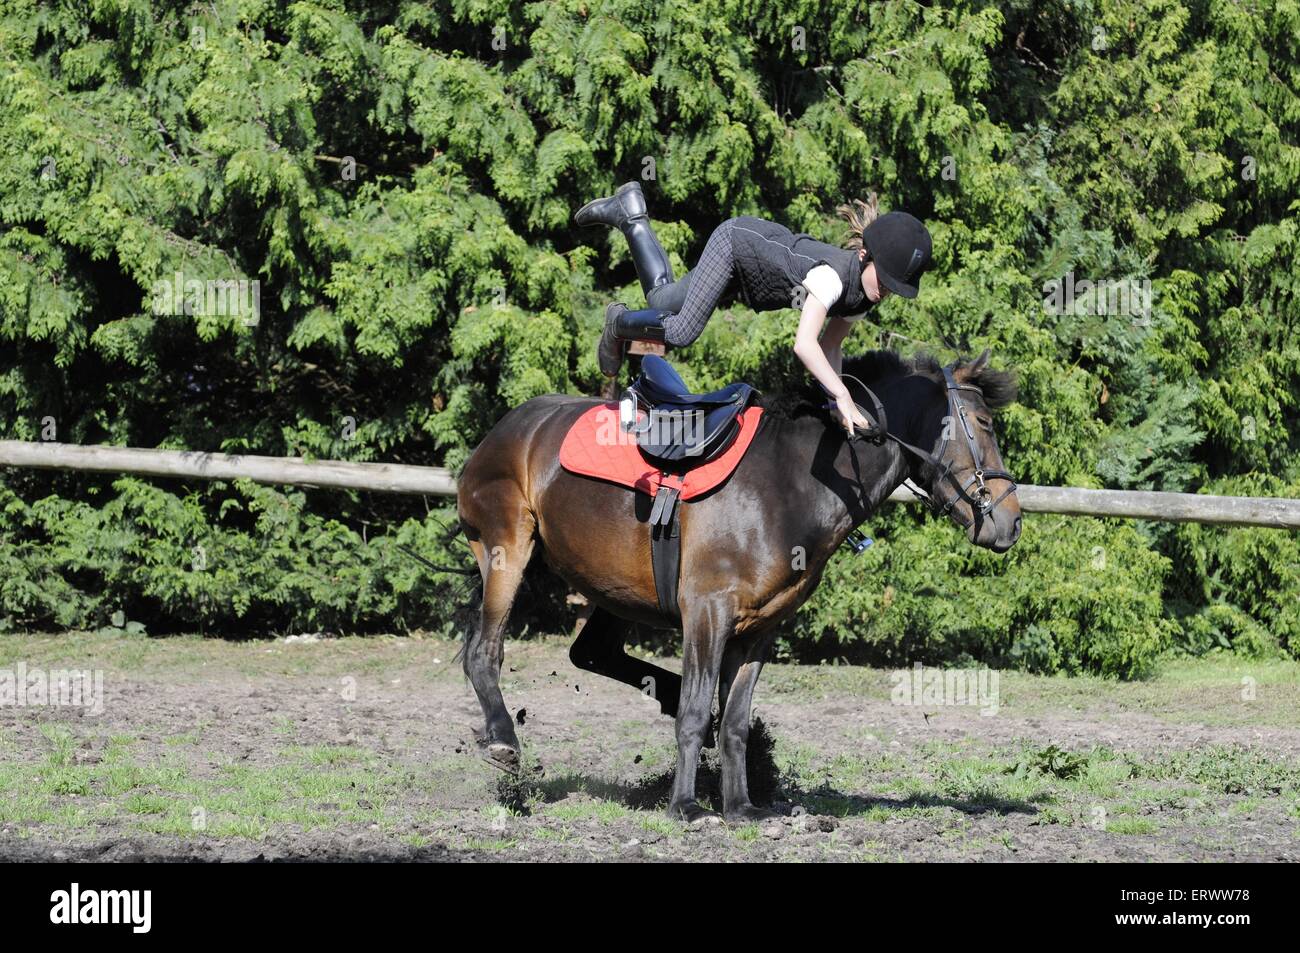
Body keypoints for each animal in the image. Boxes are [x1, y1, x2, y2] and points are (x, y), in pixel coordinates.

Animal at [454, 348, 1021, 824]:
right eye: (985, 424)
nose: (1010, 522)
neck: (790, 482)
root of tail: (508, 428)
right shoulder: (708, 612)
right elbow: (697, 710)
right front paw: (685, 806)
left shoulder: (758, 630)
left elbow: (734, 721)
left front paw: (741, 806)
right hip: (508, 552)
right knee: (485, 651)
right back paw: (503, 740)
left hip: (611, 587)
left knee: (591, 652)